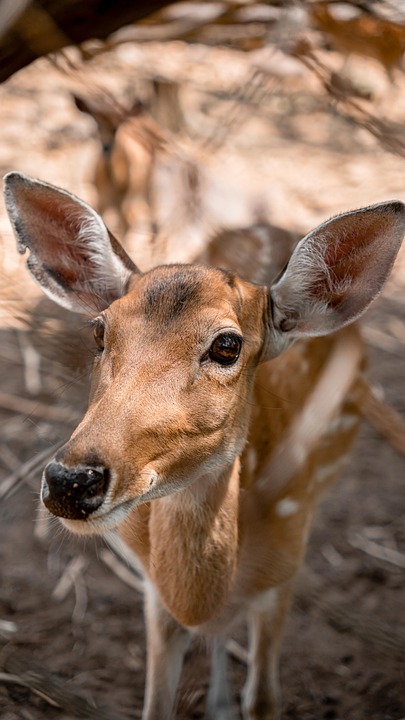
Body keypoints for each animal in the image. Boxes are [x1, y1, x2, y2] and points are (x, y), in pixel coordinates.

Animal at [3, 170, 405, 720]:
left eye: (226, 345)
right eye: (99, 330)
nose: (71, 481)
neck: (200, 596)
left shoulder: (284, 571)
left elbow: (264, 699)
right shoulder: (154, 592)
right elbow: (155, 705)